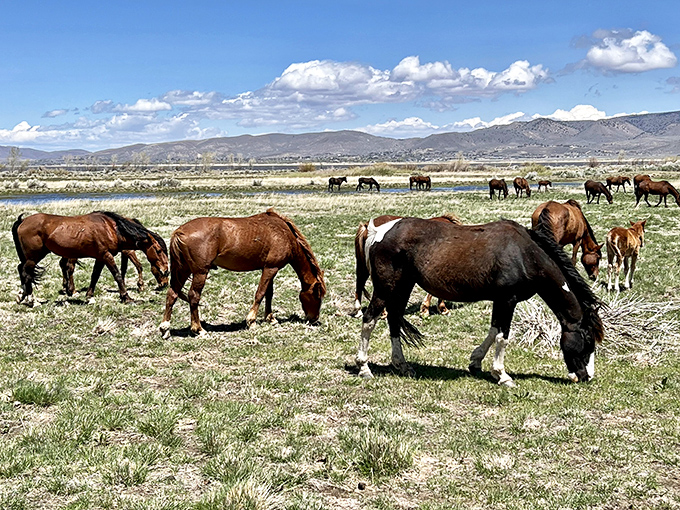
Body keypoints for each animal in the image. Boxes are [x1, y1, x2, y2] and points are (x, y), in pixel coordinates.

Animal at [12, 211, 159, 305]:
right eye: (159, 250)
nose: (164, 276)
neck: (111, 228)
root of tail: (22, 221)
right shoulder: (106, 255)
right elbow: (117, 274)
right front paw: (127, 297)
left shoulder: (101, 256)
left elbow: (95, 275)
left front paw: (87, 295)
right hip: (33, 257)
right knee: (26, 272)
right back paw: (31, 299)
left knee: (22, 269)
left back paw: (22, 295)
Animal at [159, 209, 326, 338]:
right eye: (317, 296)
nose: (314, 319)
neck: (284, 233)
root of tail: (179, 231)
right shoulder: (271, 269)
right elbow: (260, 293)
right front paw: (251, 321)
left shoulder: (269, 268)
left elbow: (269, 294)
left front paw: (270, 318)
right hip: (200, 272)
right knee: (194, 296)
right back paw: (199, 329)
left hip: (183, 270)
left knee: (172, 294)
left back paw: (165, 328)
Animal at [356, 215, 603, 386]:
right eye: (587, 341)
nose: (587, 376)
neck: (524, 254)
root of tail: (377, 230)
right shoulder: (508, 300)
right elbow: (503, 337)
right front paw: (502, 375)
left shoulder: (500, 301)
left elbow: (493, 331)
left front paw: (475, 362)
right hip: (385, 289)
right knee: (369, 319)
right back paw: (364, 368)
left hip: (402, 287)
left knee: (393, 320)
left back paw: (402, 365)